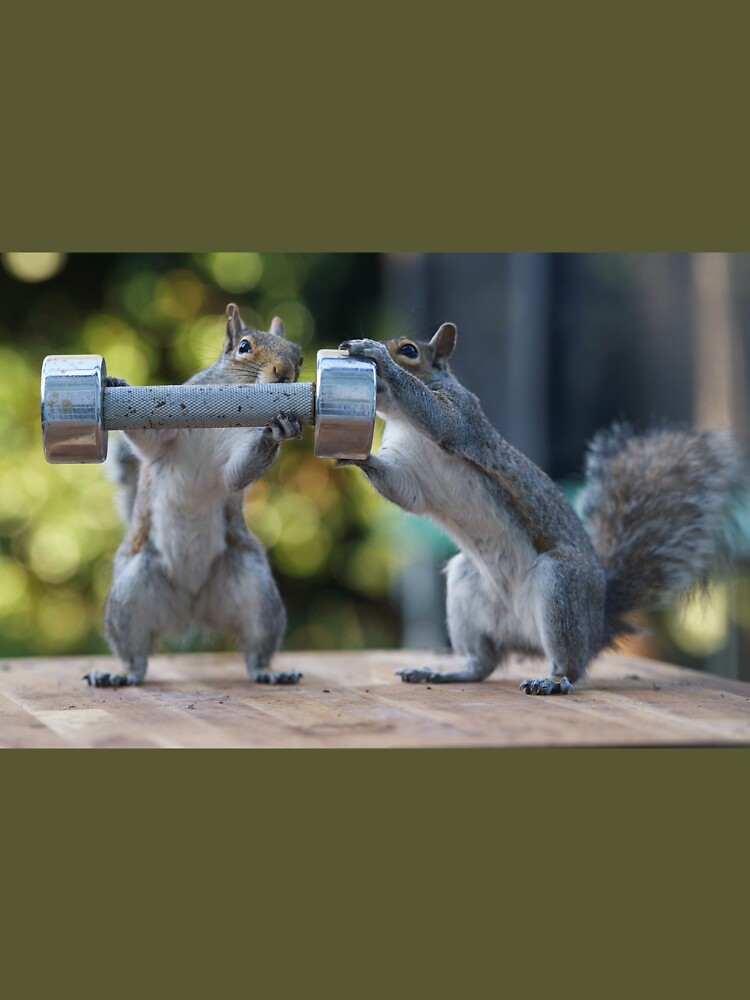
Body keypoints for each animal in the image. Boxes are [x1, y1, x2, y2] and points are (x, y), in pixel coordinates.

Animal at [84, 303, 304, 688]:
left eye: (300, 356)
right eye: (243, 347)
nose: (285, 372)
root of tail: (191, 604)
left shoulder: (231, 467)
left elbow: (238, 473)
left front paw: (276, 431)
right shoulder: (168, 438)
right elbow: (149, 441)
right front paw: (116, 384)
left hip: (255, 591)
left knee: (256, 648)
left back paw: (269, 670)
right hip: (131, 593)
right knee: (135, 654)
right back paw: (120, 674)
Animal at [339, 325, 745, 694]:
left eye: (409, 350)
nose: (380, 354)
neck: (404, 423)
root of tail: (597, 625)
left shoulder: (463, 416)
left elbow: (439, 420)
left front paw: (376, 354)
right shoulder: (411, 476)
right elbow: (405, 491)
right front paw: (352, 456)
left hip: (562, 586)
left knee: (571, 664)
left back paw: (553, 681)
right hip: (467, 588)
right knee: (483, 663)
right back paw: (447, 672)